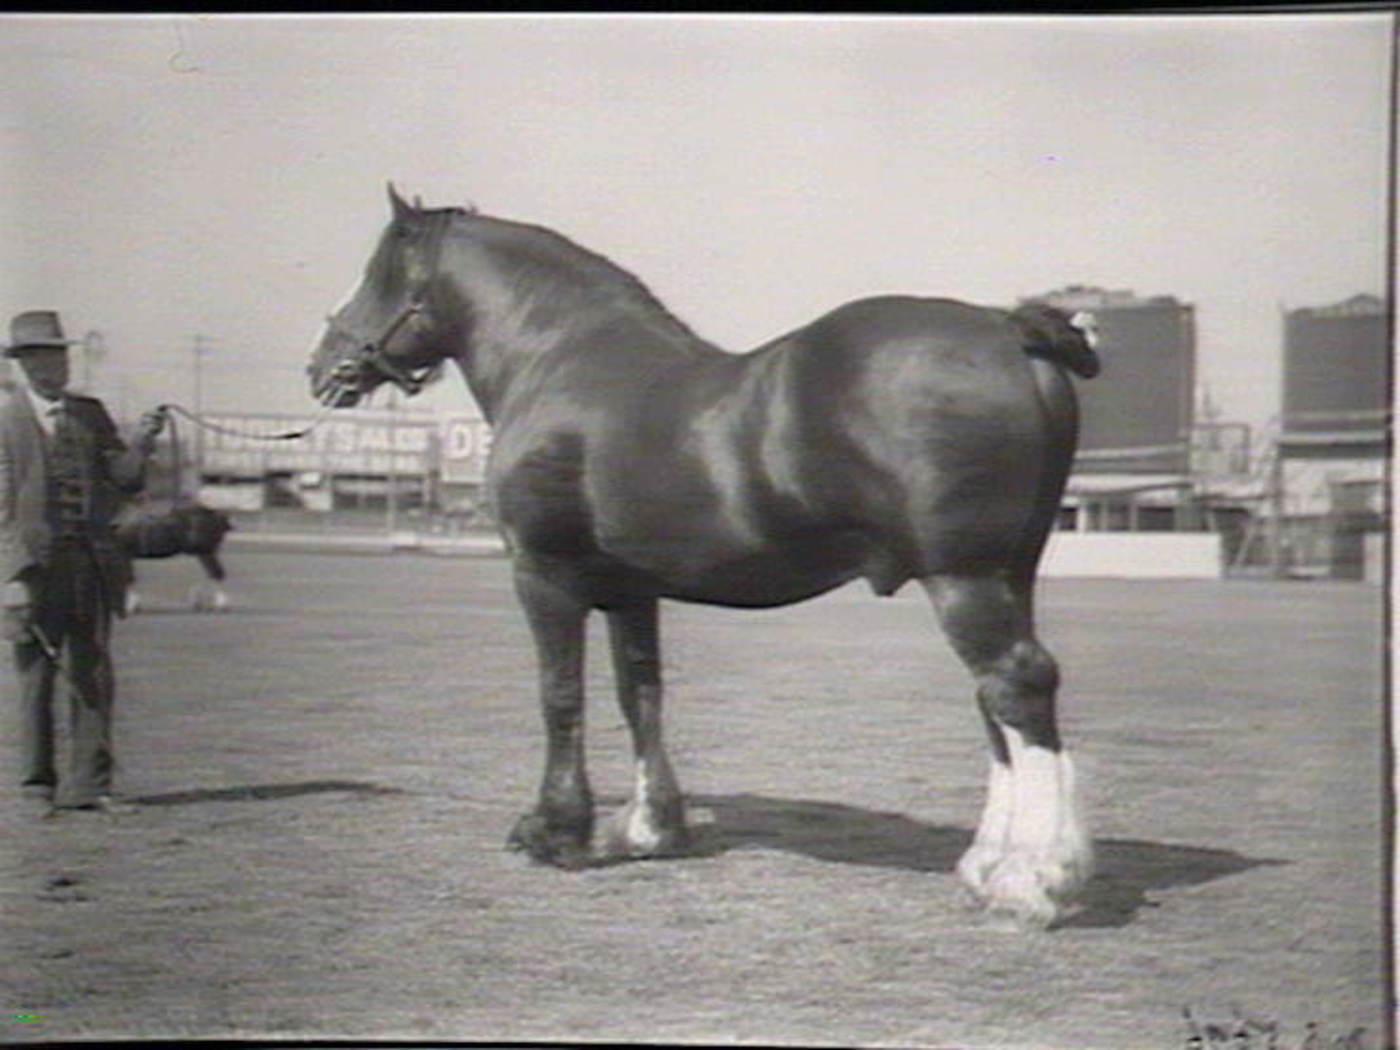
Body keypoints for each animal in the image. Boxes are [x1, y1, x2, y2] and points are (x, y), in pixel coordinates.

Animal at [307, 185, 1102, 928]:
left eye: (378, 272)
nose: (323, 367)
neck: (559, 358)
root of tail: (1007, 328)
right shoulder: (630, 589)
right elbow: (640, 692)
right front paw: (649, 828)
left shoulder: (544, 575)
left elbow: (560, 696)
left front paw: (554, 831)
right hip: (1010, 575)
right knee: (997, 700)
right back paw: (987, 865)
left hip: (963, 580)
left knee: (1017, 685)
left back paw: (1031, 883)